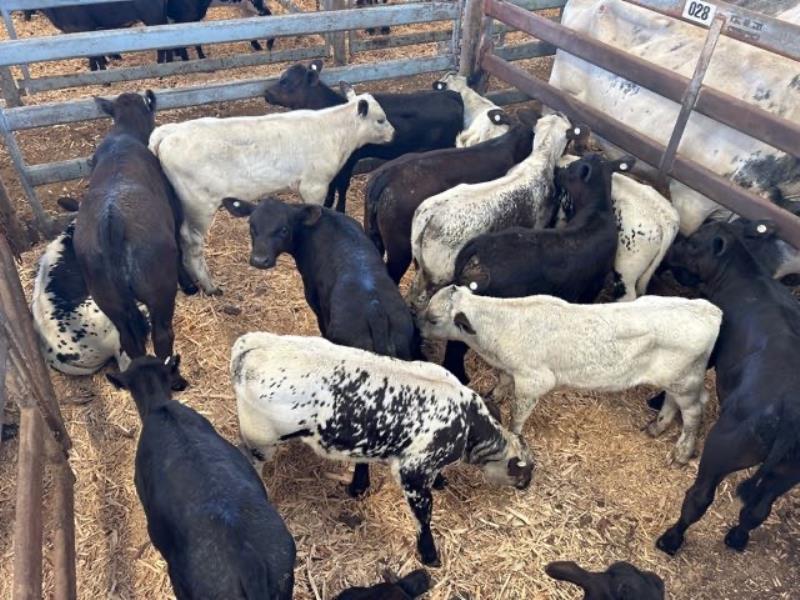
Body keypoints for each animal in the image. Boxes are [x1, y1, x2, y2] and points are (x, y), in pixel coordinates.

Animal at [231, 332, 533, 566]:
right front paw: (429, 554)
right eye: (524, 472)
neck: (468, 425)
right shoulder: (412, 472)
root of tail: (251, 347)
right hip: (260, 440)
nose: (526, 486)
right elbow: (424, 516)